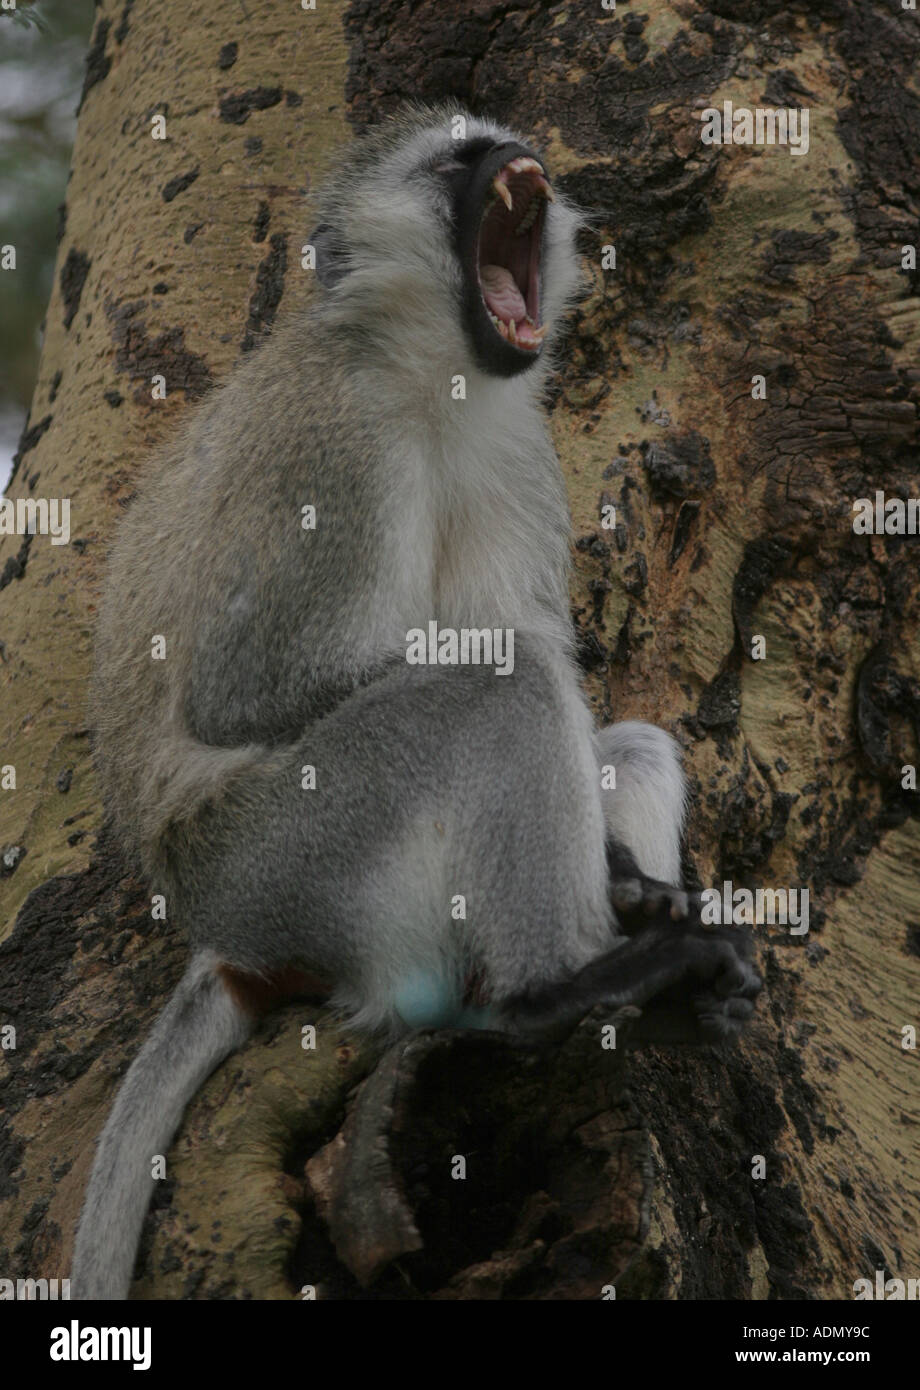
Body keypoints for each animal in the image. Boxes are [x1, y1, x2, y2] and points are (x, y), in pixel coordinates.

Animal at [71, 104, 761, 1300]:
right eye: (456, 159)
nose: (520, 161)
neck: (435, 379)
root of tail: (227, 935)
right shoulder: (328, 441)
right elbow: (246, 691)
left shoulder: (517, 446)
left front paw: (636, 879)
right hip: (282, 861)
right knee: (497, 690)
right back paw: (554, 991)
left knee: (619, 740)